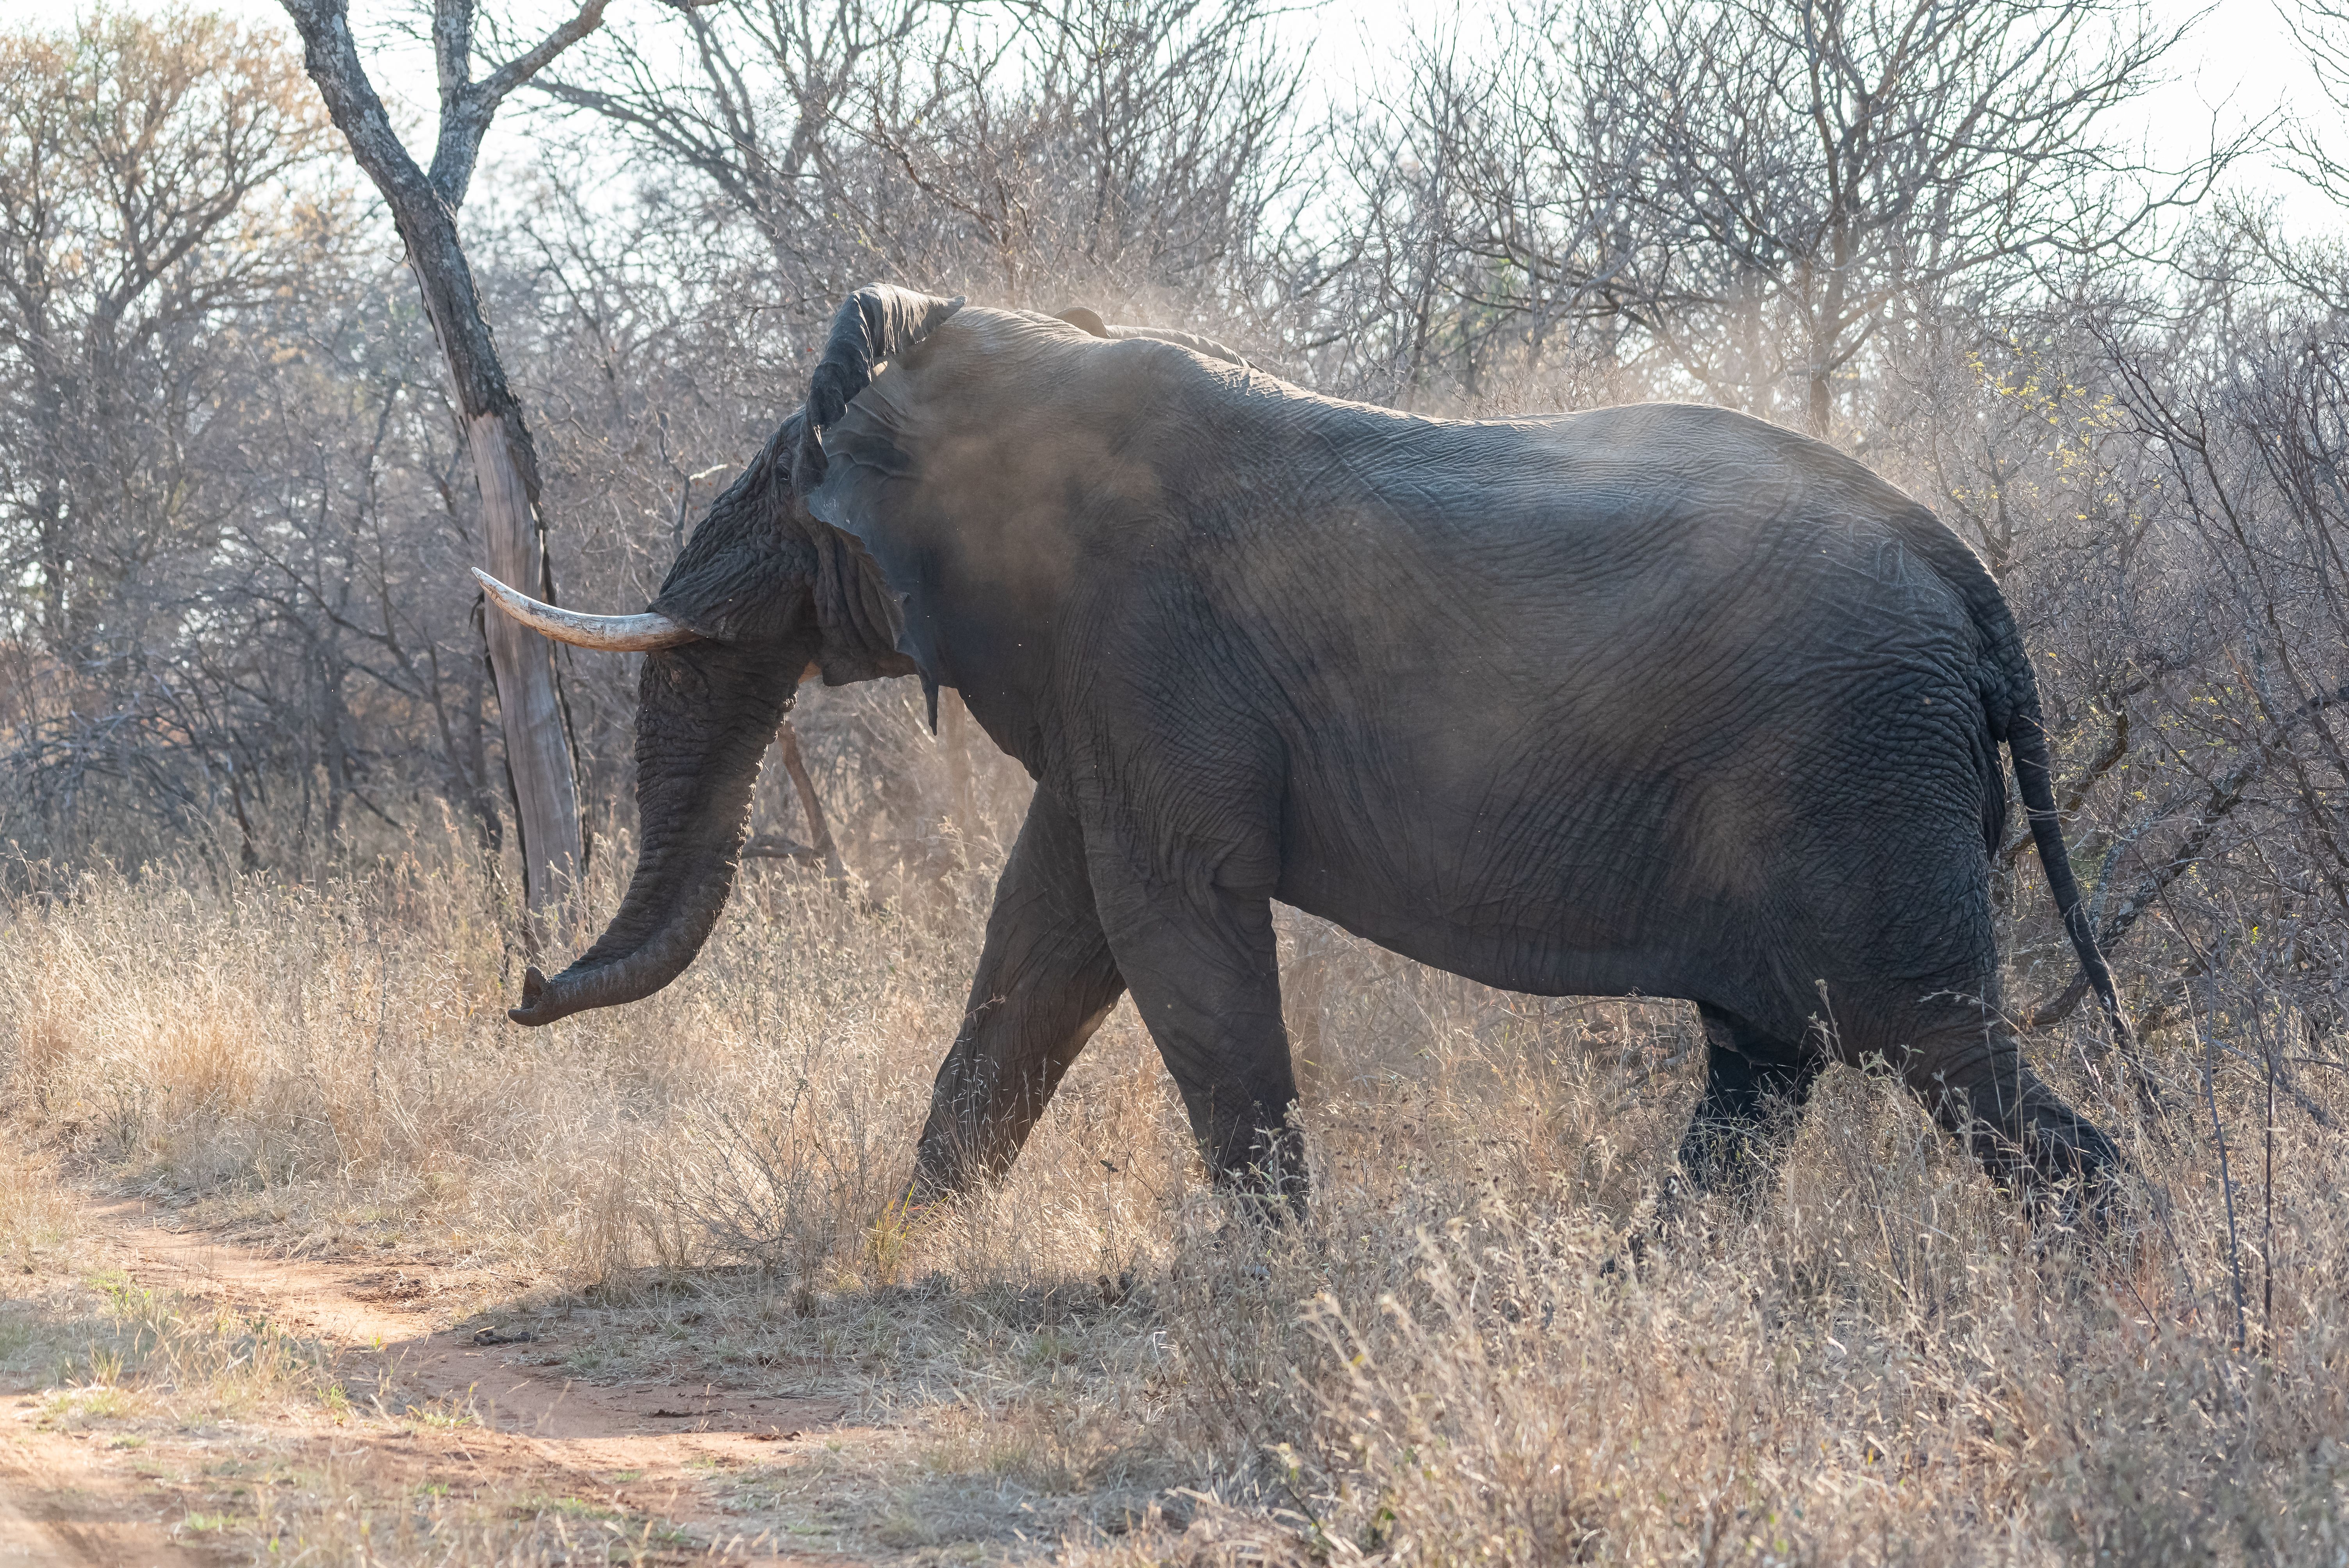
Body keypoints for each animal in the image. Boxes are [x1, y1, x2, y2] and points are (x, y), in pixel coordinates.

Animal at [478, 283, 2131, 1221]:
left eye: (786, 481)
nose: (520, 988)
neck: (1015, 352)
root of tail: (1969, 587)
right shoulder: (1108, 691)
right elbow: (1050, 925)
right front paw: (905, 1240)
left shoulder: (1146, 646)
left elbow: (1165, 922)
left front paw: (1276, 1281)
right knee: (1763, 1065)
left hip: (1860, 779)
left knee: (1927, 1049)